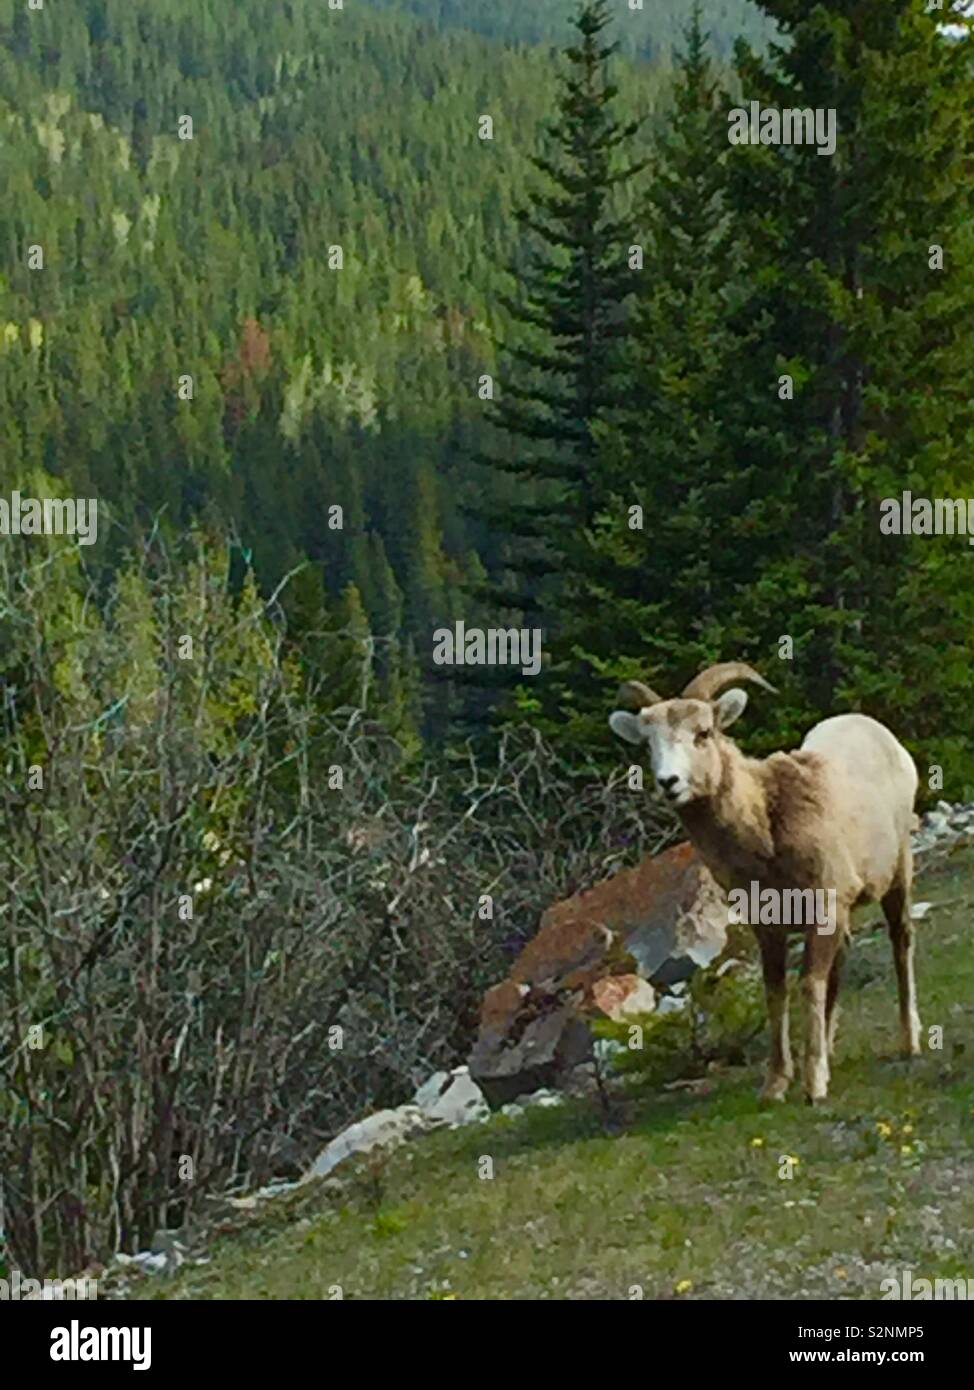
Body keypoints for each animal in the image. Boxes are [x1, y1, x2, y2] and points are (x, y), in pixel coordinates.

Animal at [609, 662, 920, 1102]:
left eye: (704, 732)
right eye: (647, 743)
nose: (669, 783)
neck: (767, 825)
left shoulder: (822, 910)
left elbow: (808, 985)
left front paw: (813, 1085)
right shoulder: (769, 926)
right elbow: (776, 994)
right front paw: (776, 1084)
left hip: (898, 874)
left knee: (901, 941)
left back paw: (910, 1042)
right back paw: (830, 1046)